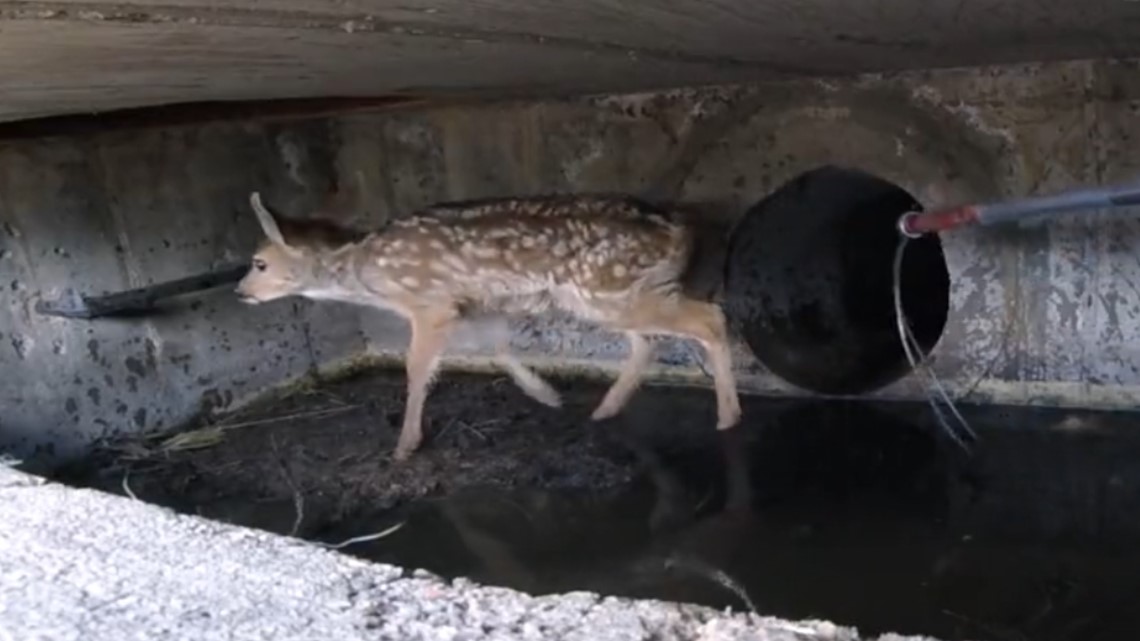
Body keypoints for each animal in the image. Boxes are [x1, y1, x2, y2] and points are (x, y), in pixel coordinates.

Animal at [234, 186, 742, 461]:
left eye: (259, 263)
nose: (240, 293)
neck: (366, 273)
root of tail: (682, 227)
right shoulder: (474, 303)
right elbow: (494, 346)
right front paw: (545, 394)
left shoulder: (431, 304)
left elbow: (417, 369)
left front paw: (405, 445)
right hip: (610, 296)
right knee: (650, 340)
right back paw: (605, 409)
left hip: (609, 292)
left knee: (710, 318)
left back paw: (728, 418)